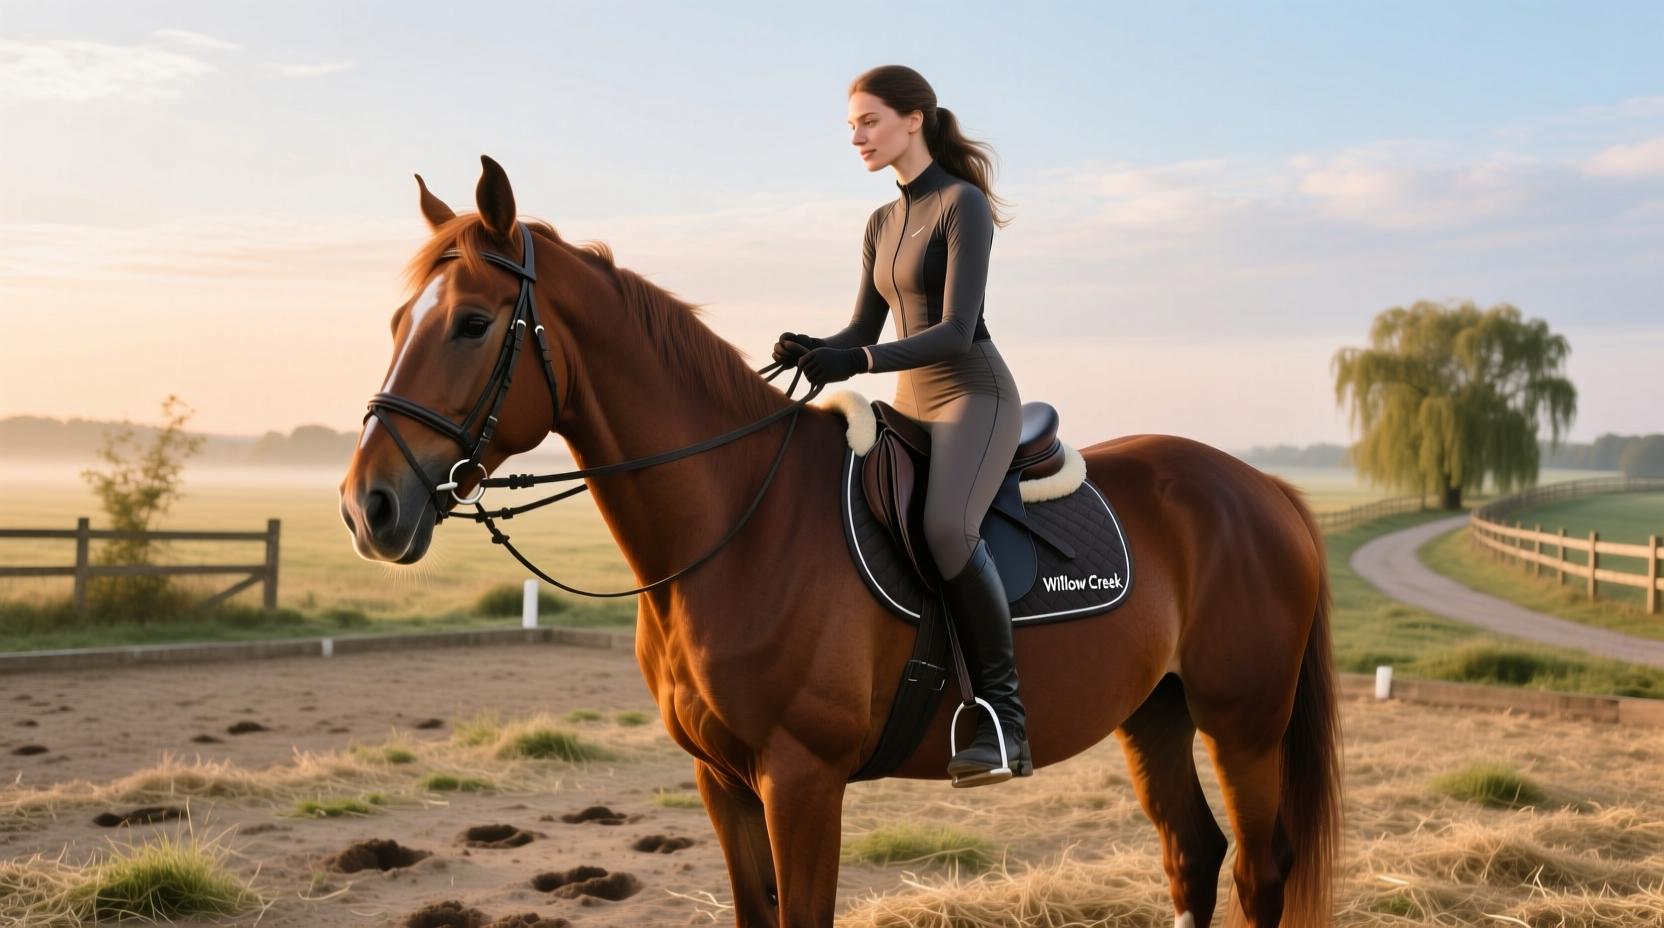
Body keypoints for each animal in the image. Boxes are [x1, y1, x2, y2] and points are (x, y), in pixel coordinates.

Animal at [340, 157, 1341, 928]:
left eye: (473, 323)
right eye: (394, 323)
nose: (367, 506)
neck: (737, 526)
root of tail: (1263, 490)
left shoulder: (802, 781)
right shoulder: (724, 783)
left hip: (1243, 720)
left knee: (1257, 871)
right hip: (1157, 713)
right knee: (1192, 856)